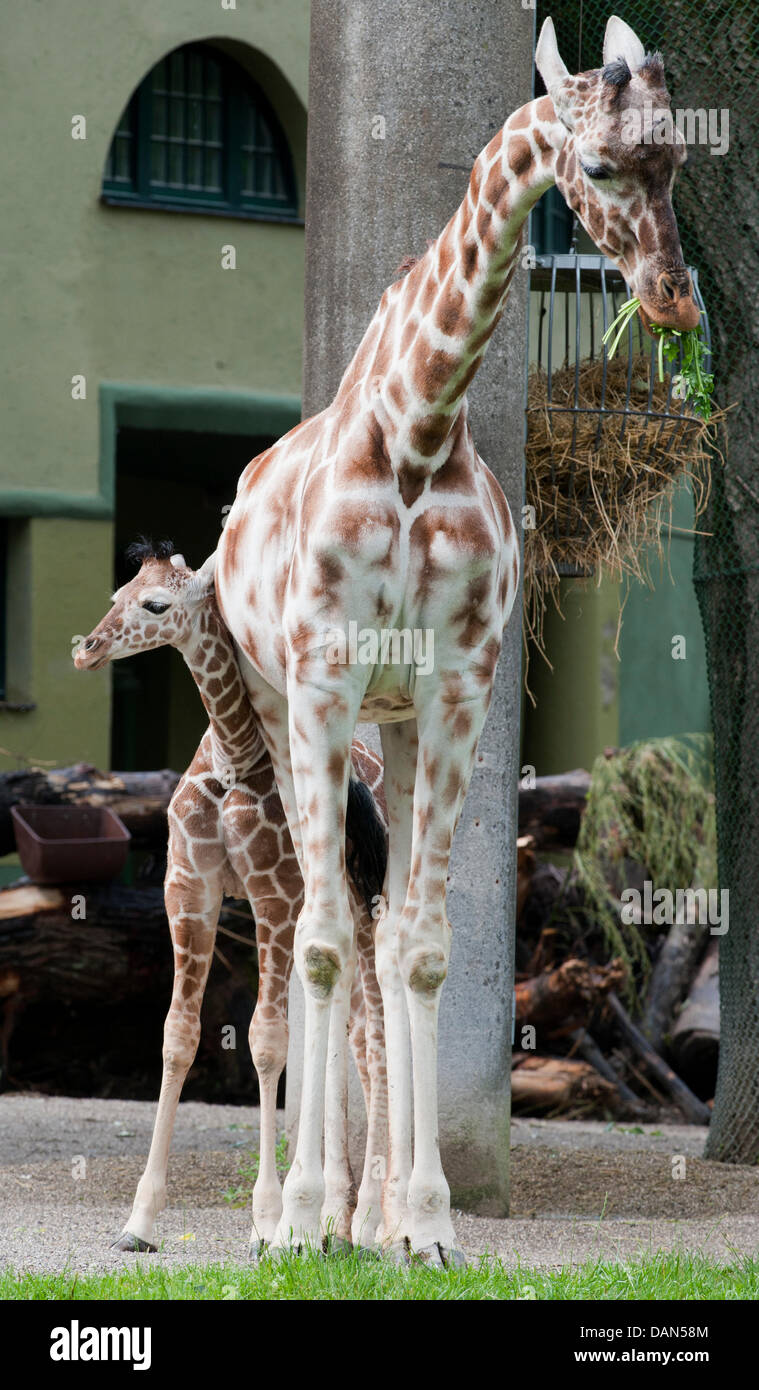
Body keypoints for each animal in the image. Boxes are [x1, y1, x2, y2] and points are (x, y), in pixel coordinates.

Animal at [73, 540, 388, 1254]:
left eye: (155, 604)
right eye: (116, 594)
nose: (87, 650)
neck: (233, 757)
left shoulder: (274, 896)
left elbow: (266, 1040)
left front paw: (267, 1222)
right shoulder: (189, 888)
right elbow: (178, 1035)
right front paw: (139, 1222)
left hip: (368, 907)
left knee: (374, 1036)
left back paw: (373, 1223)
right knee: (345, 1033)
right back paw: (336, 1222)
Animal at [215, 13, 701, 1265]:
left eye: (680, 163)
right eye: (597, 167)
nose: (674, 301)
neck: (417, 430)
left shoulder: (456, 695)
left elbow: (420, 949)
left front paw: (423, 1223)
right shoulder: (325, 686)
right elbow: (325, 945)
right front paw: (305, 1222)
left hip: (381, 736)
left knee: (374, 941)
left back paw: (368, 1211)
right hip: (278, 725)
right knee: (303, 941)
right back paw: (292, 1212)